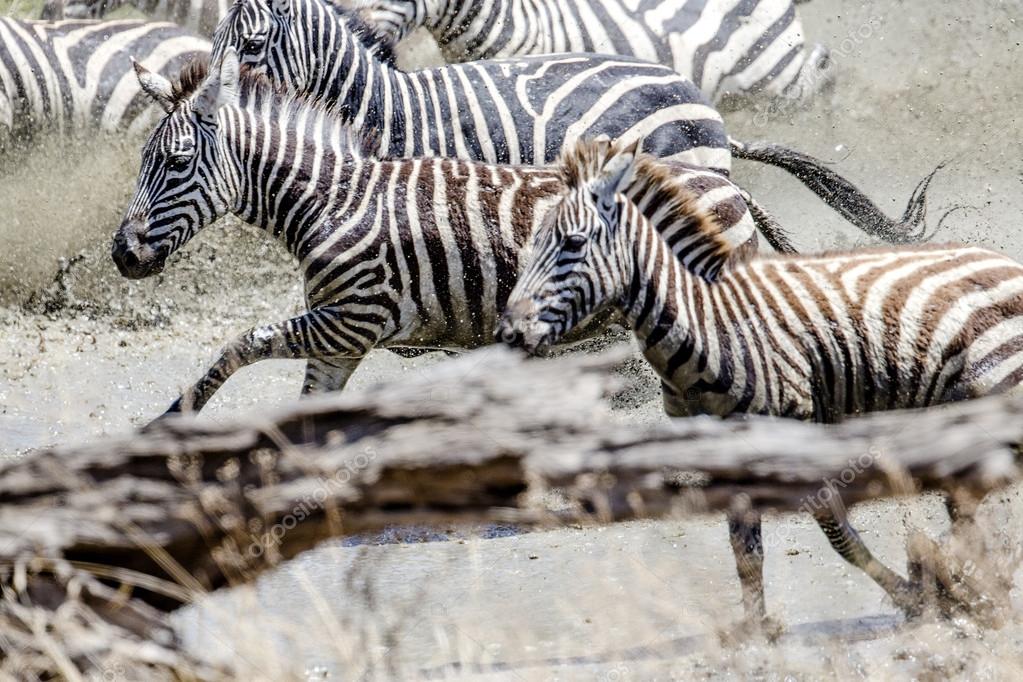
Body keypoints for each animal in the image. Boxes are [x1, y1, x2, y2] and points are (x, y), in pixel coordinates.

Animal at [114, 51, 787, 416]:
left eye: (175, 161)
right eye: (145, 158)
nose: (122, 254)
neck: (330, 199)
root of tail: (724, 184)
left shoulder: (355, 317)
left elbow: (240, 345)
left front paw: (168, 423)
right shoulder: (340, 340)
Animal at [496, 137, 1023, 627]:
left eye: (573, 244)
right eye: (532, 242)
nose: (508, 332)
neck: (708, 326)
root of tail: (1004, 262)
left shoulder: (794, 433)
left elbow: (835, 530)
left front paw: (916, 594)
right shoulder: (721, 450)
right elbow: (743, 550)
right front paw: (755, 633)